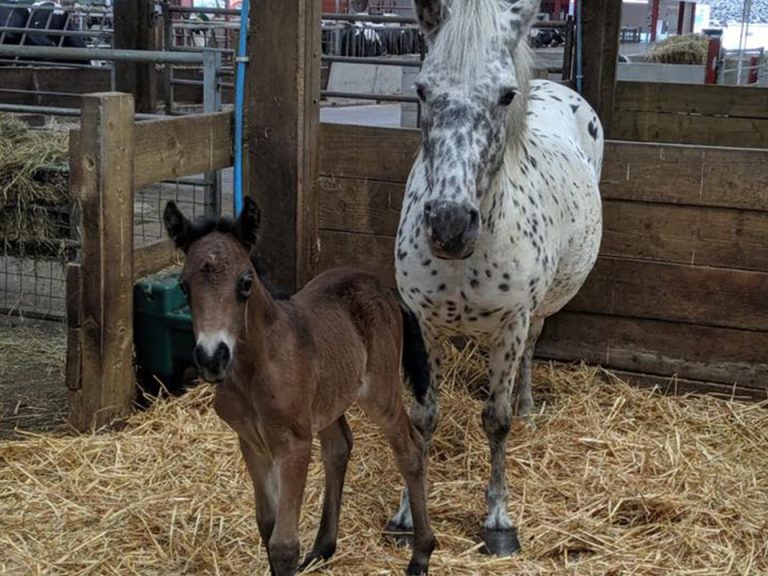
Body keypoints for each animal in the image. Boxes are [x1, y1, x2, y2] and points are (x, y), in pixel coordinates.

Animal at [163, 198, 436, 576]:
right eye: (184, 286)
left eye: (245, 283)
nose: (212, 357)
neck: (254, 371)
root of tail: (383, 289)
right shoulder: (251, 441)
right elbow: (267, 525)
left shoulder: (293, 443)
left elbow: (284, 544)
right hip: (329, 398)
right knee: (339, 447)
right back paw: (323, 548)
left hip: (380, 391)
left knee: (410, 448)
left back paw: (421, 553)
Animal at [389, 0, 603, 556]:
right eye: (422, 90)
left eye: (506, 94)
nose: (448, 224)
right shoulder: (424, 325)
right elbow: (424, 418)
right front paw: (406, 513)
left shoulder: (510, 324)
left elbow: (496, 421)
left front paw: (498, 521)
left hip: (539, 311)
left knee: (532, 349)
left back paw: (528, 407)